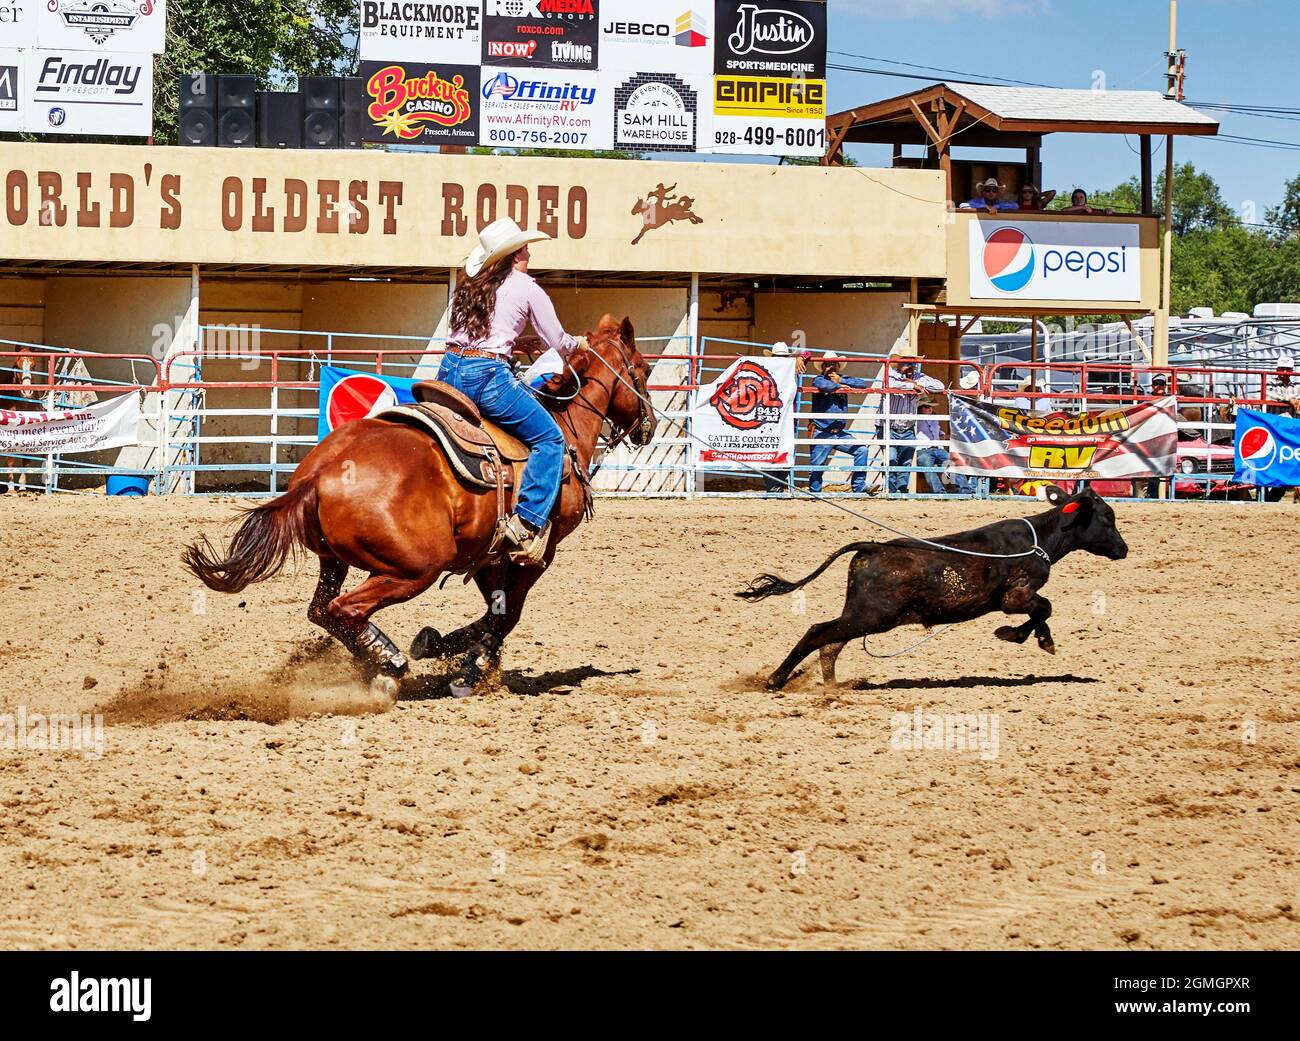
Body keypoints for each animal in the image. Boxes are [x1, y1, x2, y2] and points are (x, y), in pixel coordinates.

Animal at [183, 313, 650, 696]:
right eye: (643, 369)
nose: (649, 426)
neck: (564, 427)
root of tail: (321, 474)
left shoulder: (486, 553)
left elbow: (494, 609)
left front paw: (453, 651)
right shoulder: (537, 553)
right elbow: (507, 614)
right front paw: (470, 666)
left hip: (336, 558)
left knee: (322, 610)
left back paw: (379, 659)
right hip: (416, 567)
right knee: (343, 608)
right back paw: (389, 664)